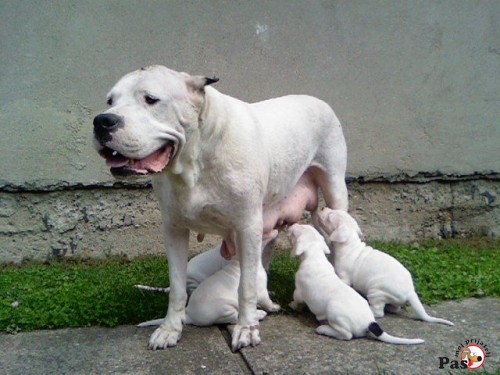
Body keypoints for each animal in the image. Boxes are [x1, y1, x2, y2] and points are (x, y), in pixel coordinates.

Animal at [93, 65, 348, 352]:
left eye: (150, 99)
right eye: (110, 101)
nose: (102, 121)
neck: (196, 156)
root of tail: (317, 99)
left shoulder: (247, 226)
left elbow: (246, 285)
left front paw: (246, 328)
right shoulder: (173, 229)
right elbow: (177, 285)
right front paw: (170, 329)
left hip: (335, 192)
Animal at [288, 225, 424, 346]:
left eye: (298, 231)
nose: (292, 225)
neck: (316, 257)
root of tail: (369, 323)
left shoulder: (299, 291)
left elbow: (296, 299)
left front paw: (292, 306)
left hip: (335, 312)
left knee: (346, 335)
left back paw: (324, 329)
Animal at [316, 209, 454, 326]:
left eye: (330, 217)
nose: (322, 208)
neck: (349, 243)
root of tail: (410, 291)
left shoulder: (344, 277)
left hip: (376, 292)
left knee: (379, 312)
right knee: (395, 308)